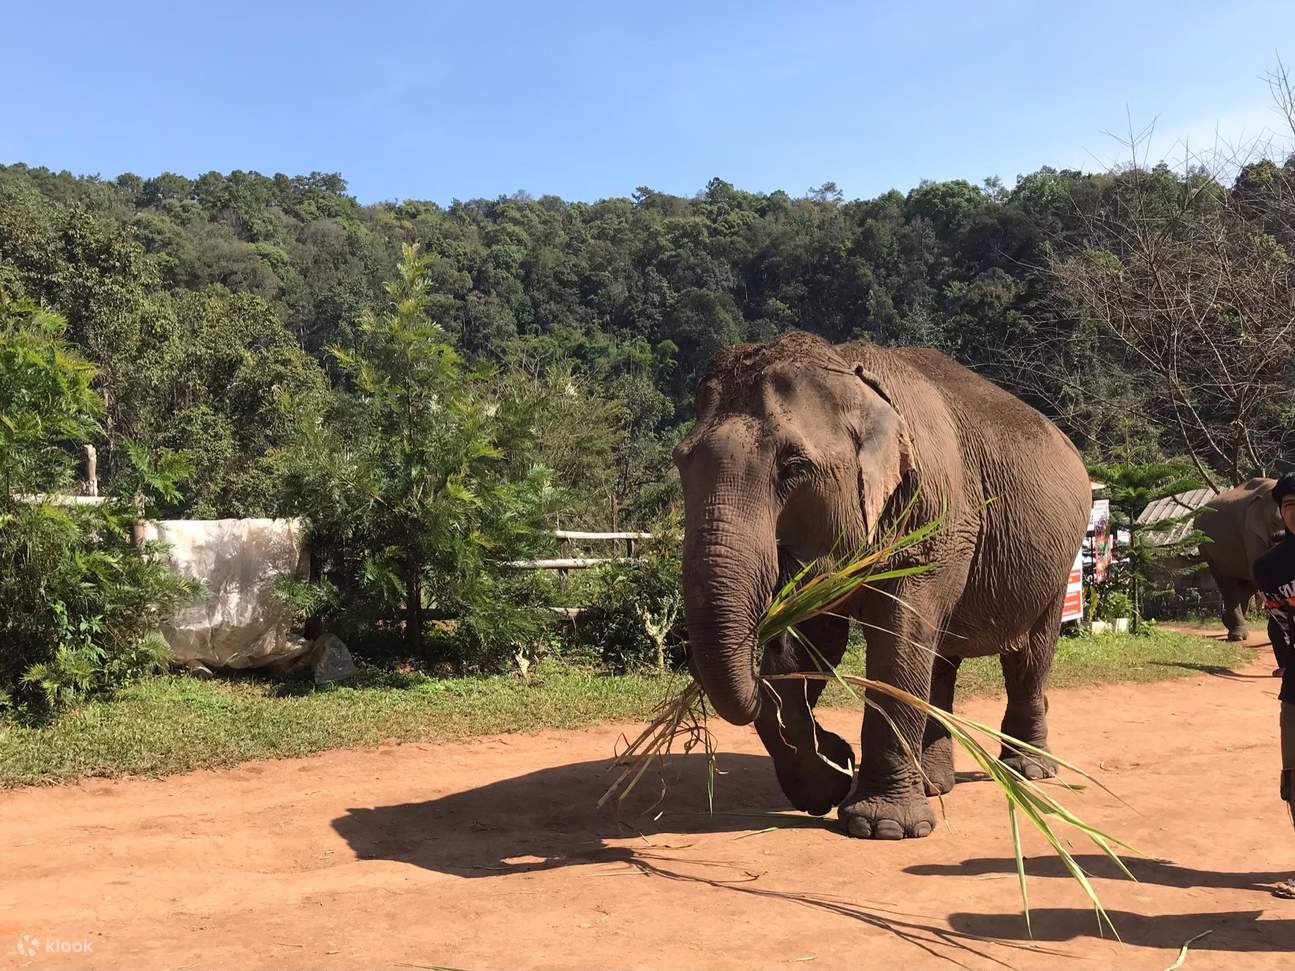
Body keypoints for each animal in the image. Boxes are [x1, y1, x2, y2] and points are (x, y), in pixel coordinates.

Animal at [674, 331, 1091, 840]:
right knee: (942, 659)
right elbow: (822, 643)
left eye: (793, 467)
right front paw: (823, 785)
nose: (770, 643)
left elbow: (898, 638)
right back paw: (934, 783)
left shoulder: (936, 516)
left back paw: (1028, 772)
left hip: (1060, 559)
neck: (848, 368)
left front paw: (882, 827)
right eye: (681, 461)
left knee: (1028, 656)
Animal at [1196, 478, 1284, 641]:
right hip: (1206, 546)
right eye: (1274, 522)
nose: (1277, 537)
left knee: (1245, 585)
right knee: (1226, 582)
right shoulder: (1251, 532)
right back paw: (1237, 635)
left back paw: (1228, 622)